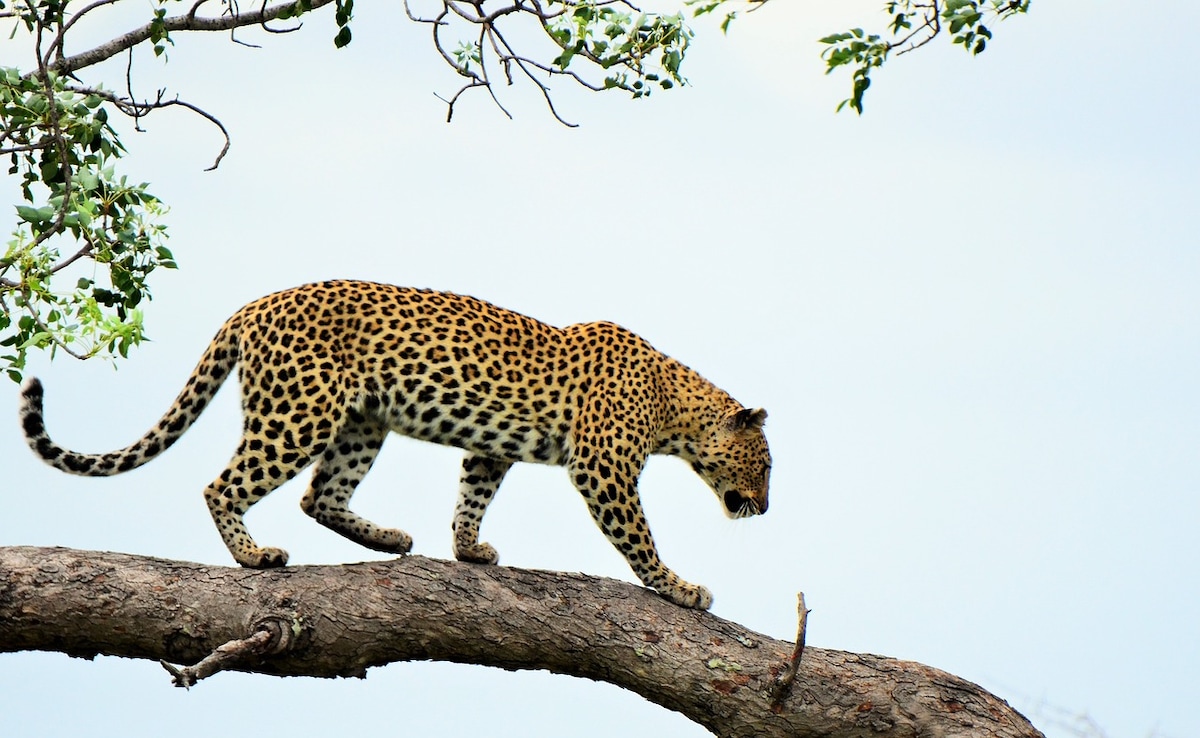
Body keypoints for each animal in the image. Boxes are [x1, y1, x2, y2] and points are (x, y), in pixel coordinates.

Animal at [17, 280, 771, 609]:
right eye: (764, 465)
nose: (764, 508)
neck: (674, 406)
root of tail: (251, 305)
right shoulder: (604, 468)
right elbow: (638, 537)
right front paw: (680, 588)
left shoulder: (493, 448)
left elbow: (473, 492)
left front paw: (469, 551)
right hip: (299, 414)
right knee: (223, 485)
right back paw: (255, 557)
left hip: (361, 422)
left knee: (321, 495)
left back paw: (388, 540)